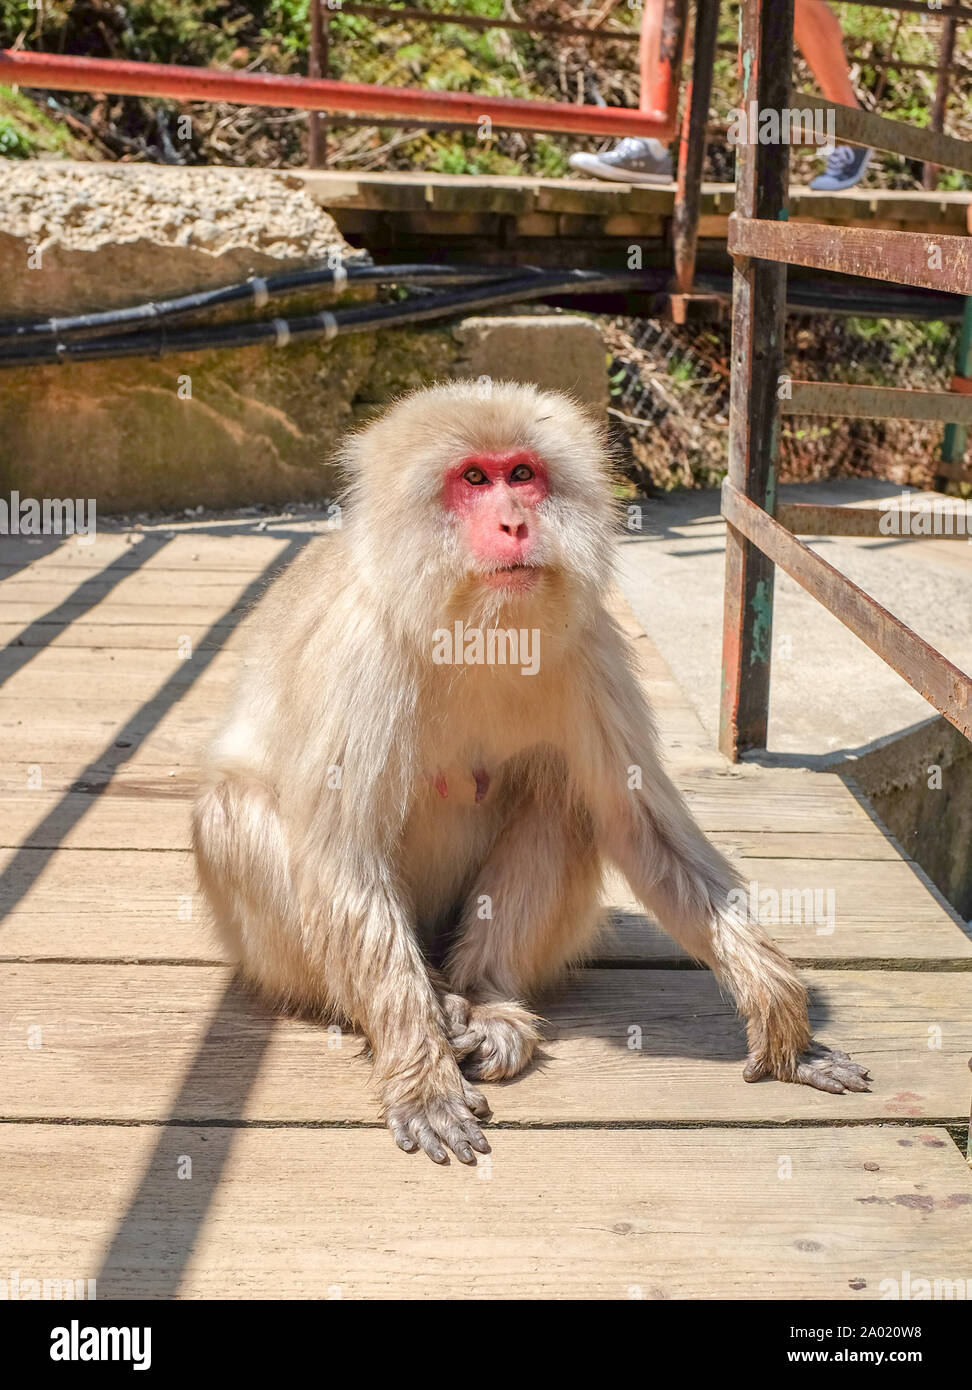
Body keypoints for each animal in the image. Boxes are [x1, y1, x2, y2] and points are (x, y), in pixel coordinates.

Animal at [193, 380, 870, 1165]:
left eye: (521, 474)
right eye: (474, 480)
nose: (516, 522)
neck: (477, 626)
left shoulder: (590, 646)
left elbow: (635, 821)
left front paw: (780, 1012)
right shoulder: (358, 649)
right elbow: (343, 853)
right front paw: (421, 1079)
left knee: (564, 795)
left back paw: (485, 1002)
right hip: (270, 953)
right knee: (232, 809)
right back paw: (425, 1011)